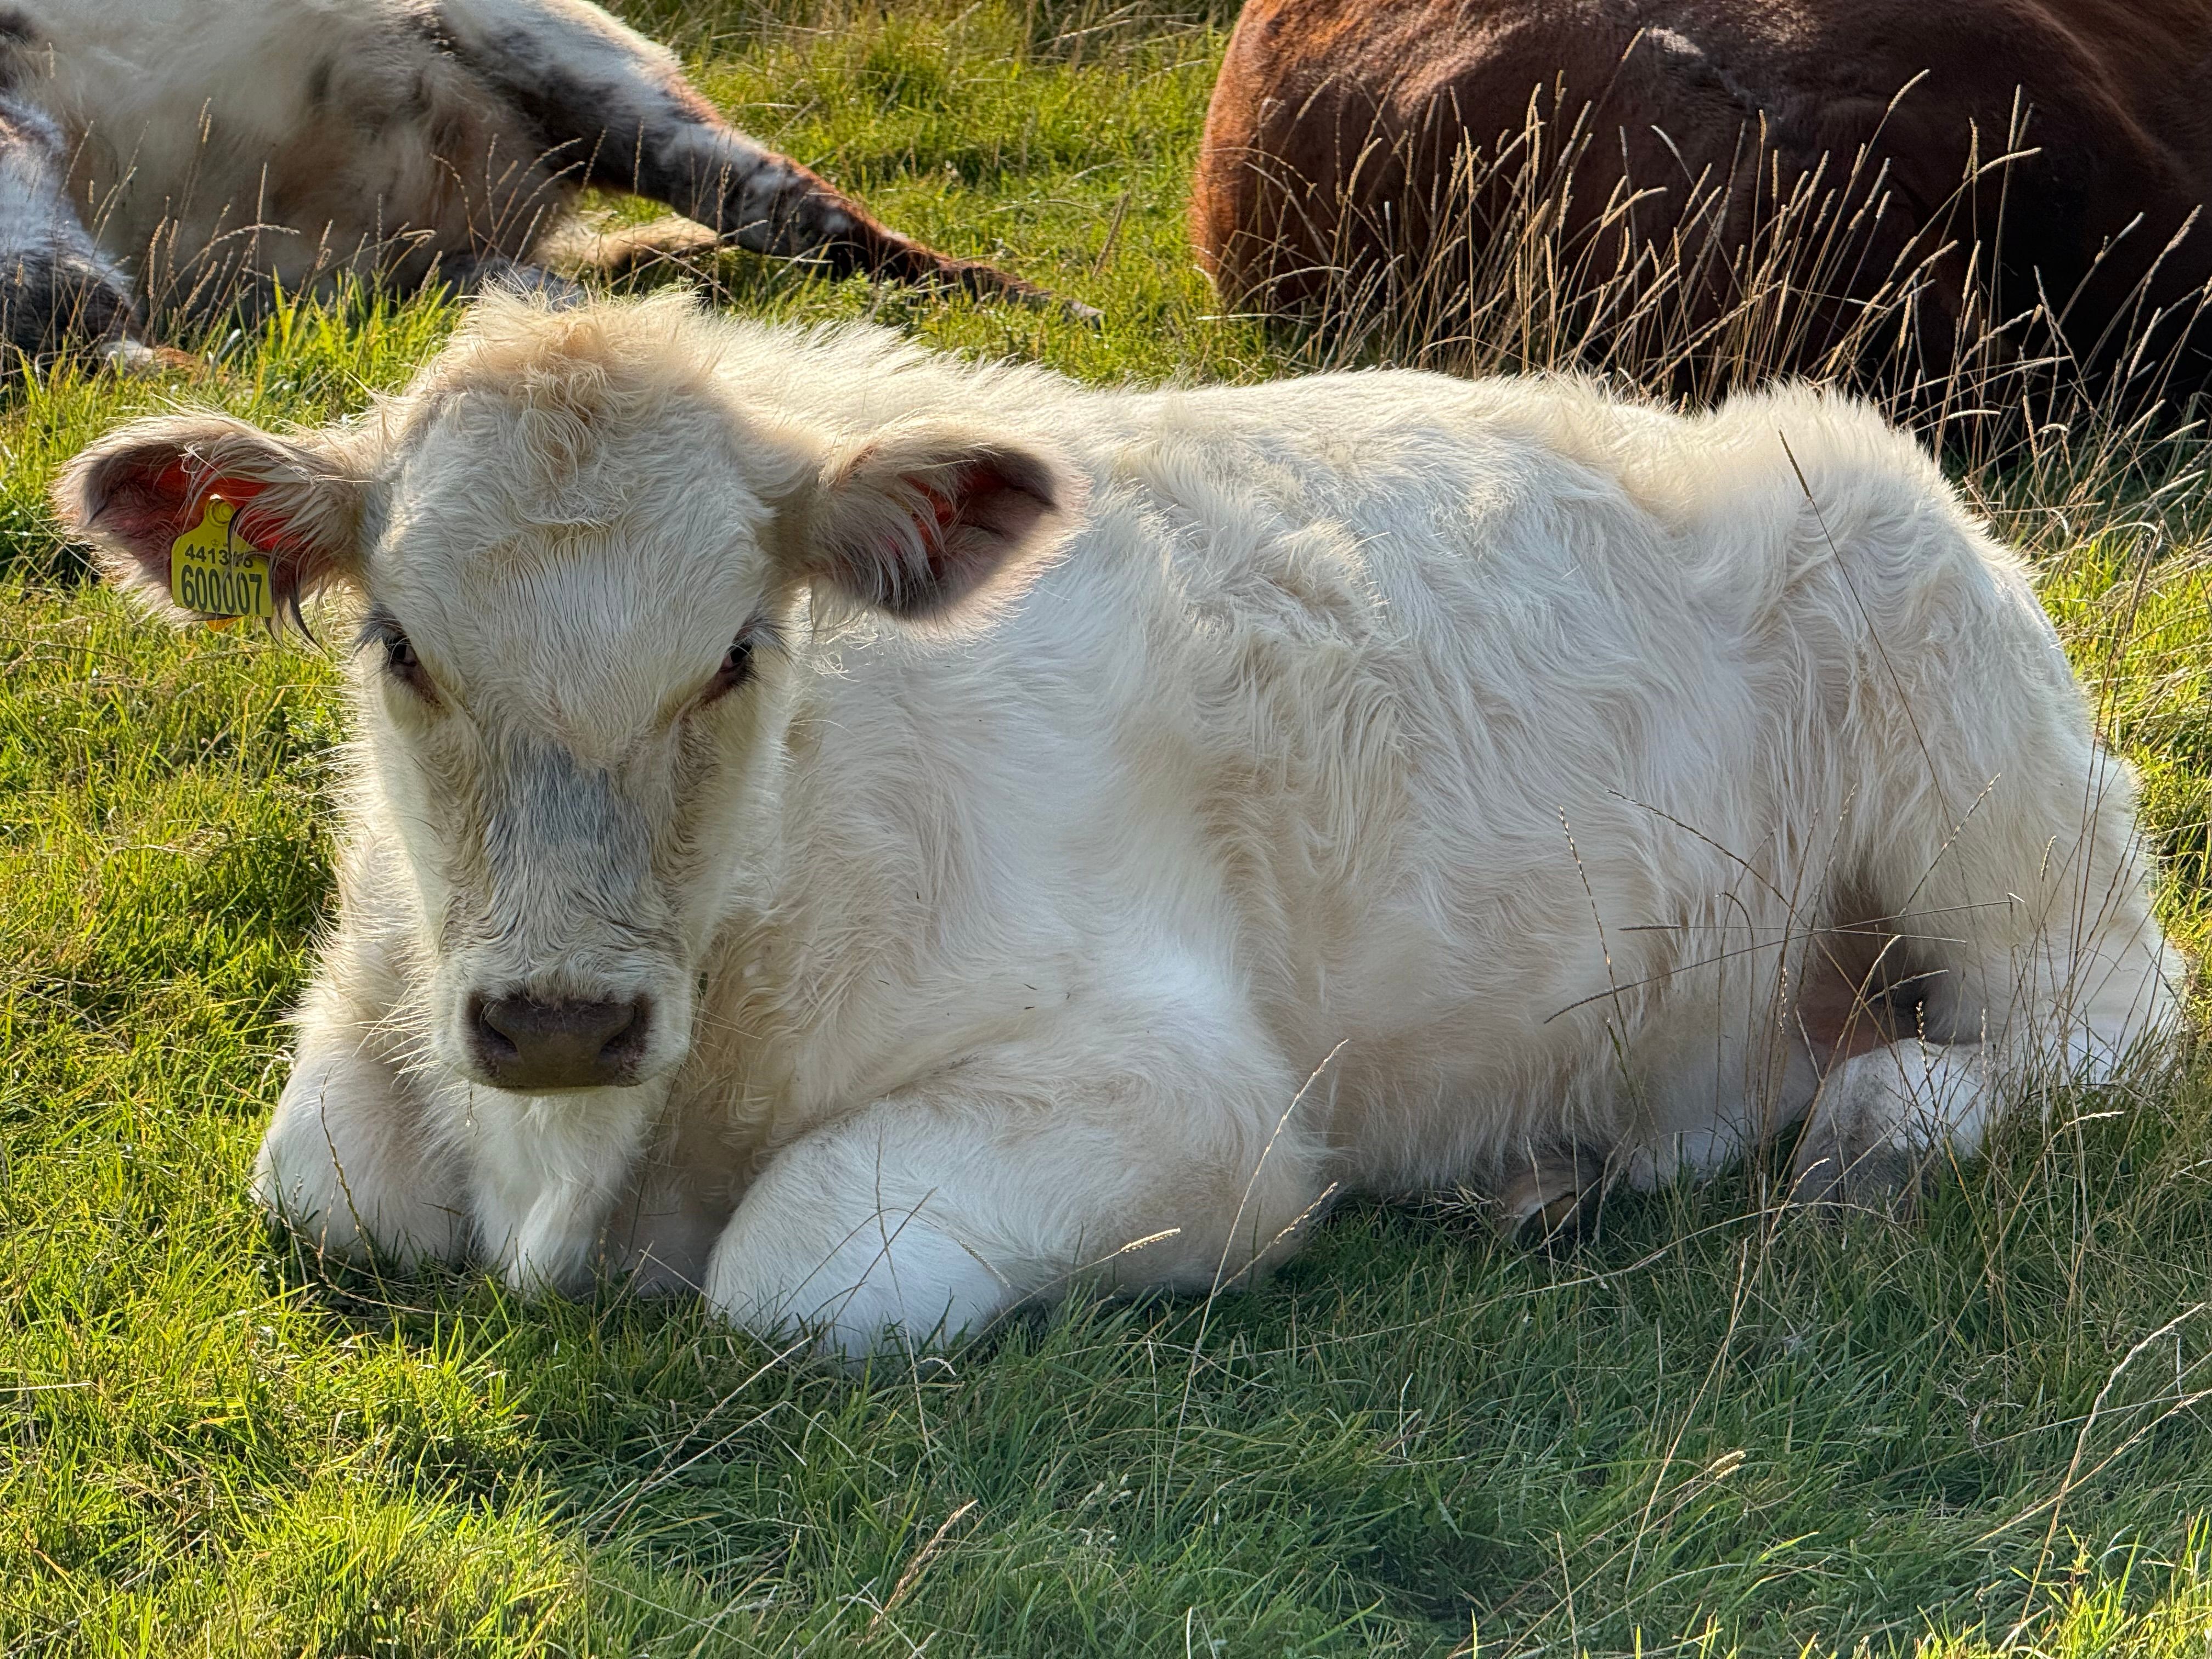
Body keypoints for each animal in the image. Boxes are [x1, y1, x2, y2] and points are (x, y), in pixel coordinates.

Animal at [60, 291, 2182, 1358]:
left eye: (739, 648)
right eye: (401, 645)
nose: (562, 1016)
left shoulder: (1195, 1094)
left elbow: (804, 1257)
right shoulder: (380, 1019)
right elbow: (320, 1177)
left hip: (1990, 784)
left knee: (2104, 1028)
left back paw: (1877, 1132)